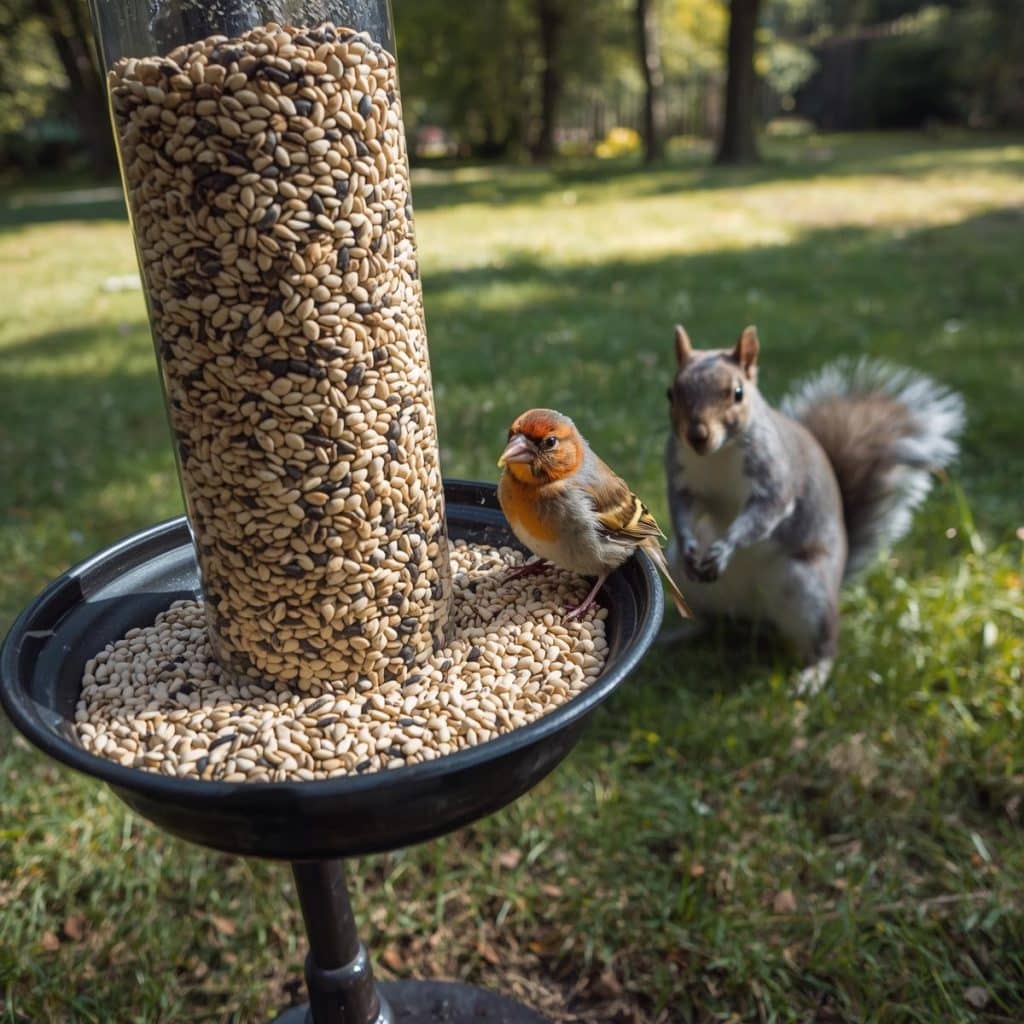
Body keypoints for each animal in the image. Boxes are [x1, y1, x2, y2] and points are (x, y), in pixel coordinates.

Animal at [663, 323, 965, 693]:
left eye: (737, 393)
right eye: (671, 393)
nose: (697, 436)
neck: (718, 455)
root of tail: (755, 616)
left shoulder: (776, 480)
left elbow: (763, 515)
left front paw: (724, 548)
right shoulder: (681, 480)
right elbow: (681, 511)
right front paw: (691, 544)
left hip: (810, 594)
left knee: (824, 644)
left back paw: (813, 675)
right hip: (686, 581)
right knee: (711, 623)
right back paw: (678, 635)